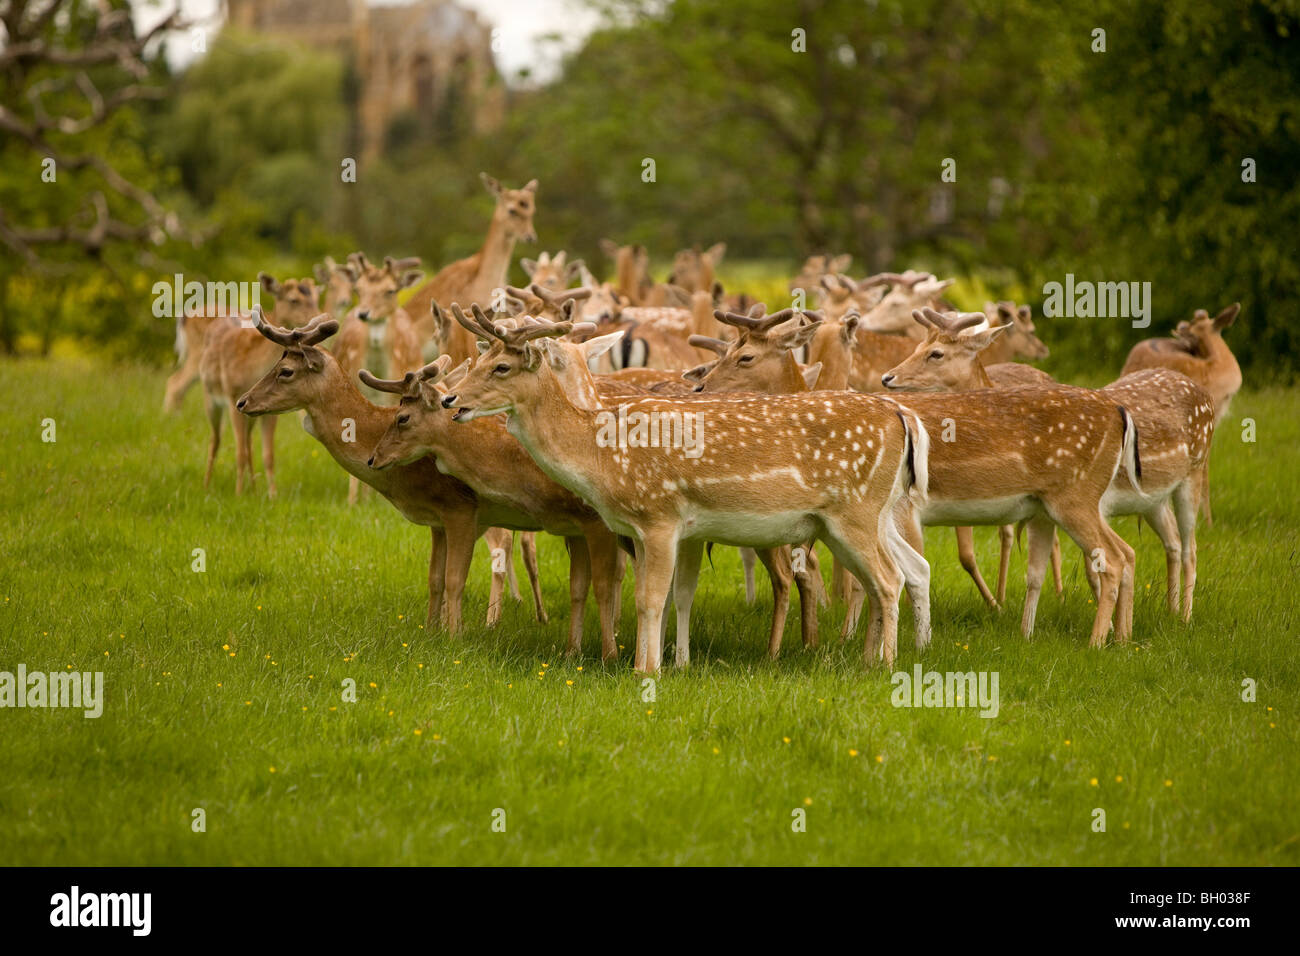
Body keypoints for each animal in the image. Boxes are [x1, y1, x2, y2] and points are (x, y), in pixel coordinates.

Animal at [197, 273, 320, 495]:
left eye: (316, 296)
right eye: (293, 300)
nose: (319, 315)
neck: (253, 368)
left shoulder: (269, 410)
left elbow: (268, 455)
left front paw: (272, 495)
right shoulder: (232, 397)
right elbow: (239, 453)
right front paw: (237, 494)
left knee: (248, 442)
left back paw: (253, 489)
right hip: (210, 396)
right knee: (216, 439)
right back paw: (207, 485)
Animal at [235, 310, 544, 632]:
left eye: (285, 371)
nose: (242, 402)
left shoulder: (461, 506)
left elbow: (454, 578)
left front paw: (454, 632)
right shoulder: (439, 520)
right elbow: (434, 578)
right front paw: (431, 630)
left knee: (504, 544)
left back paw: (494, 620)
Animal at [364, 355, 626, 661]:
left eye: (402, 417)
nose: (373, 459)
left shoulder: (597, 521)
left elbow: (603, 587)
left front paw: (610, 656)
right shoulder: (575, 526)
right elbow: (579, 588)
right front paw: (573, 652)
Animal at [439, 306, 933, 673]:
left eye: (502, 366)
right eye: (477, 361)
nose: (449, 400)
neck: (601, 457)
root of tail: (902, 417)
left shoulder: (660, 515)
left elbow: (650, 598)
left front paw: (646, 671)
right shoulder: (648, 529)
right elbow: (655, 595)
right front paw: (656, 662)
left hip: (856, 511)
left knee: (888, 578)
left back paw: (887, 665)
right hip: (851, 520)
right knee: (891, 576)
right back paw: (870, 659)